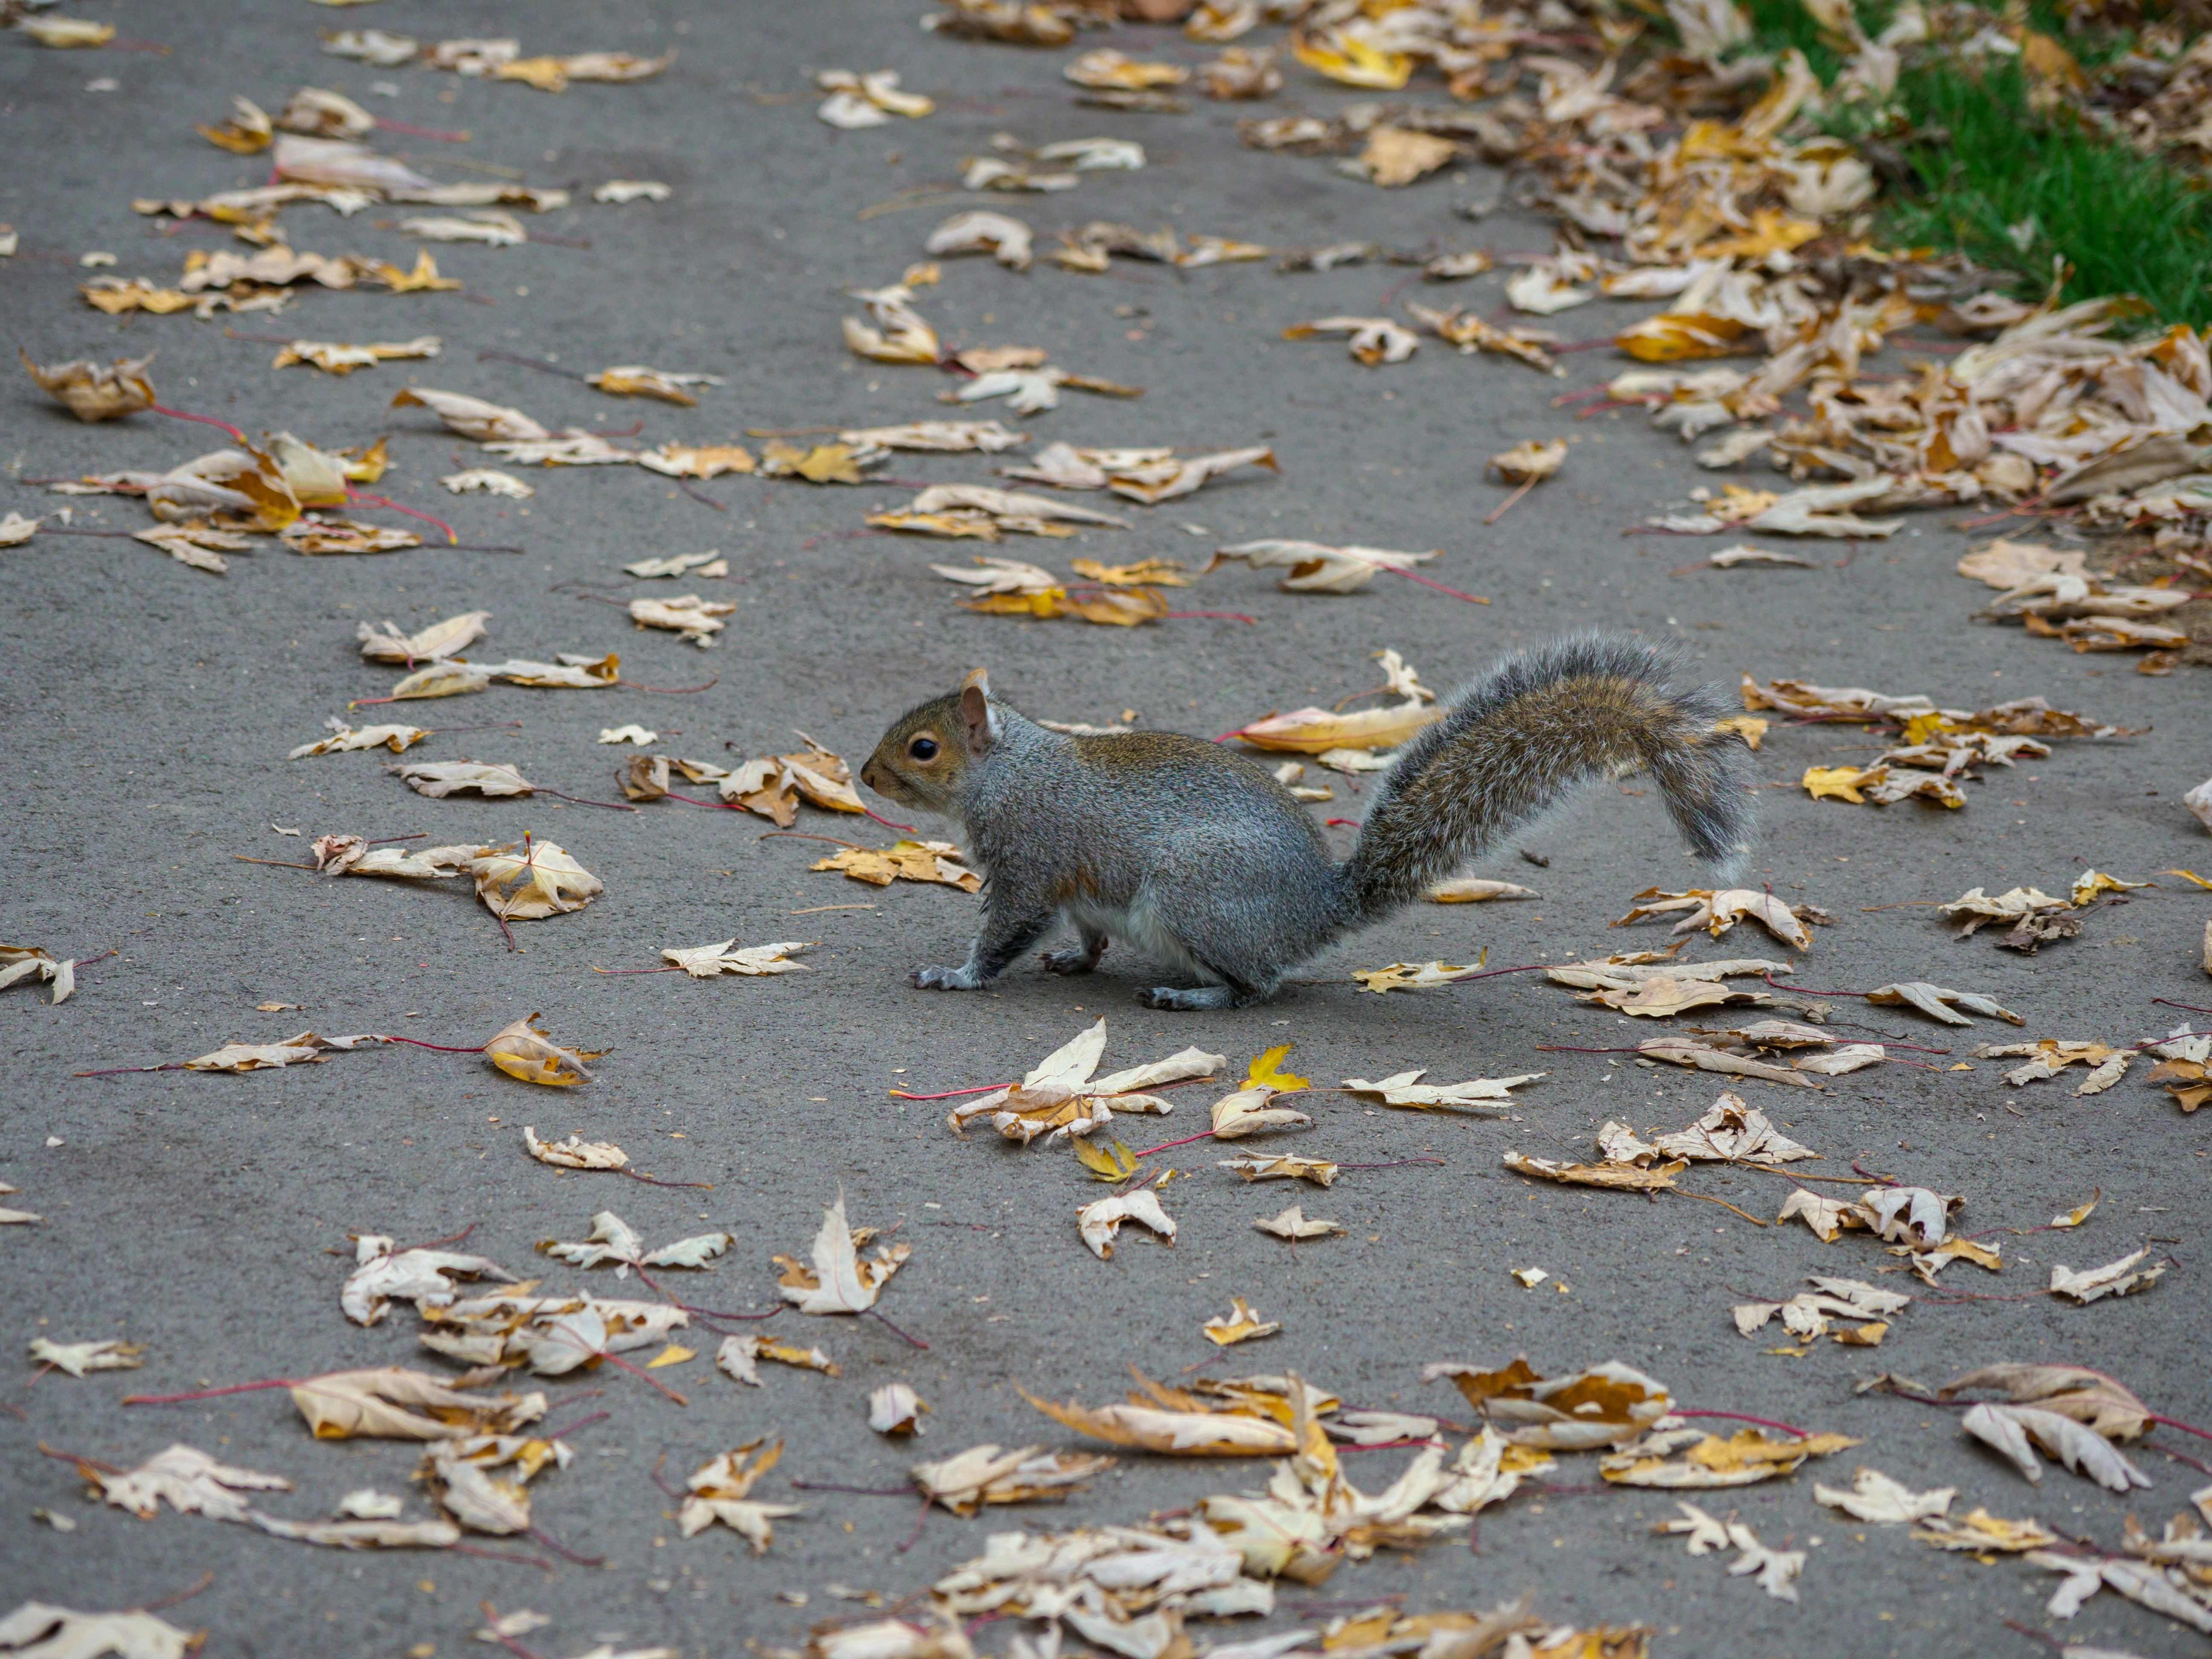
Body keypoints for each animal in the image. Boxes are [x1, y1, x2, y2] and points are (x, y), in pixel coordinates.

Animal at [857, 633, 1753, 1010]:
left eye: (923, 747)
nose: (864, 775)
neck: (1008, 768)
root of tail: (1313, 908)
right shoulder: (1073, 885)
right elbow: (1083, 928)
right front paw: (1078, 960)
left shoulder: (1029, 858)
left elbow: (1007, 929)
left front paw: (956, 975)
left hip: (1194, 893)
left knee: (1255, 986)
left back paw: (1189, 996)